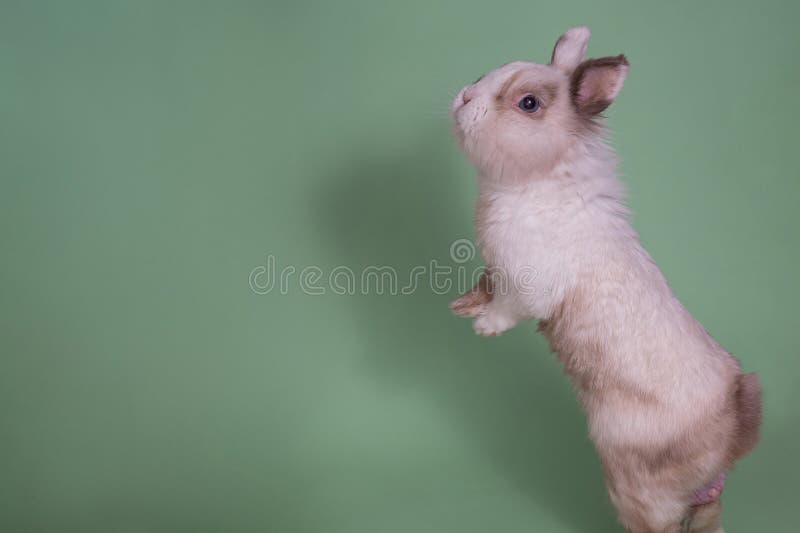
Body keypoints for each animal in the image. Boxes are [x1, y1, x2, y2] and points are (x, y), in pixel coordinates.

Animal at [449, 26, 761, 533]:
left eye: (529, 103)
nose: (465, 96)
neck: (536, 180)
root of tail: (732, 434)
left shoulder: (528, 286)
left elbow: (509, 308)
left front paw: (484, 327)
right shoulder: (497, 269)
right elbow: (487, 285)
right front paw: (464, 305)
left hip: (634, 485)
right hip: (702, 498)